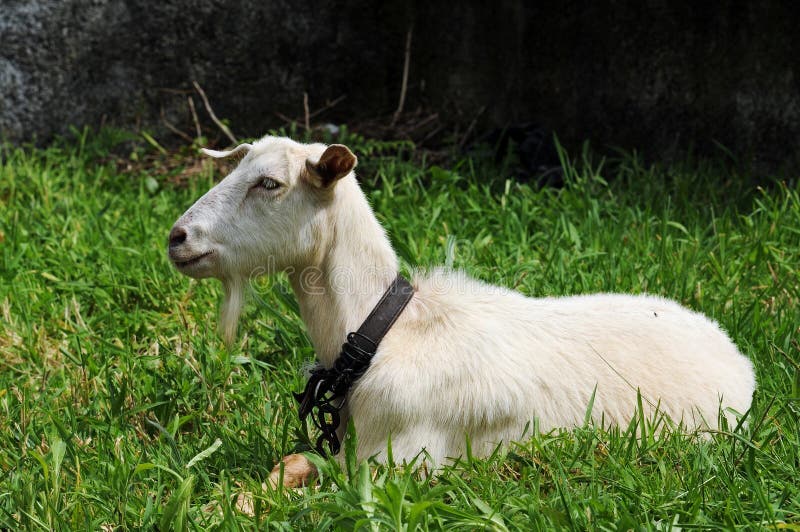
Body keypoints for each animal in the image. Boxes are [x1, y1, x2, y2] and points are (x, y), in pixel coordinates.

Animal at [168, 135, 756, 487]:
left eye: (270, 183)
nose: (177, 237)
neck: (383, 333)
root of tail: (736, 354)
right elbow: (290, 462)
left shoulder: (397, 461)